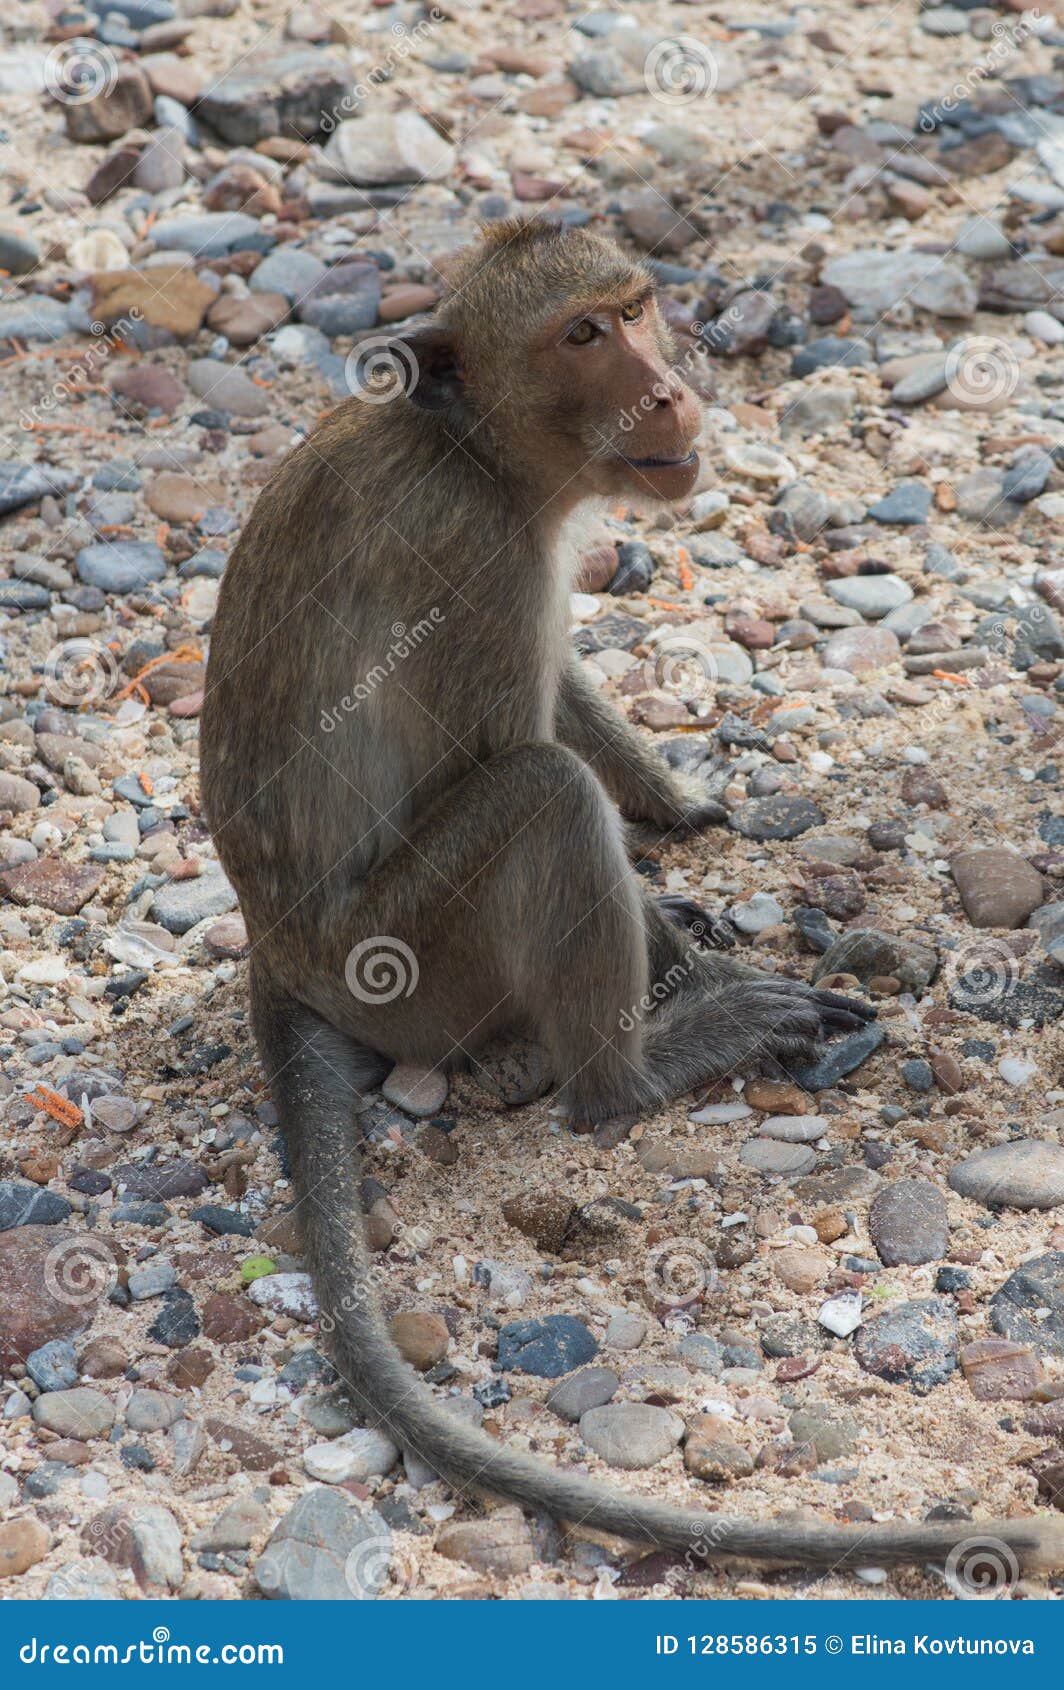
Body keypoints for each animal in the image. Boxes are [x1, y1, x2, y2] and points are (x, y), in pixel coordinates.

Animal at [200, 220, 1061, 1576]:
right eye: (580, 336)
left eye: (635, 308)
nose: (663, 388)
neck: (472, 448)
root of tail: (276, 954)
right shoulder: (475, 559)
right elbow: (515, 743)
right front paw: (685, 964)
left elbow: (566, 699)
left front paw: (681, 813)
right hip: (403, 965)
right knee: (544, 796)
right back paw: (640, 1067)